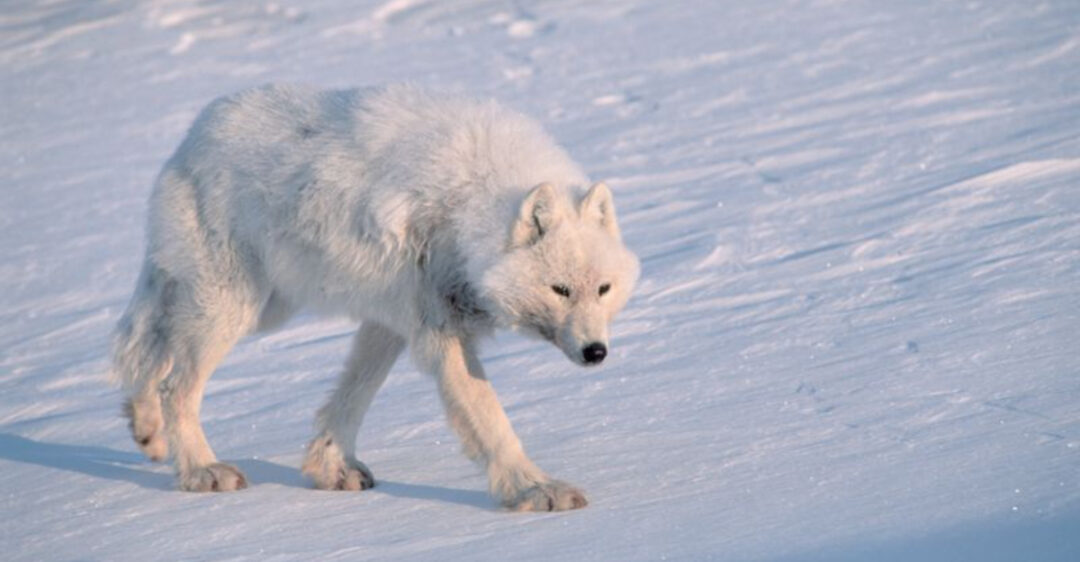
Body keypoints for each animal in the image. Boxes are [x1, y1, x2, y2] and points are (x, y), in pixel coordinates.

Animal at [110, 84, 639, 511]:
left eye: (603, 289)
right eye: (560, 290)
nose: (596, 353)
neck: (471, 205)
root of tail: (192, 137)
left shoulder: (394, 320)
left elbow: (353, 395)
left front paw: (330, 468)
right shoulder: (439, 329)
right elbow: (490, 419)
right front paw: (534, 490)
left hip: (260, 309)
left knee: (146, 350)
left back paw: (147, 430)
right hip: (234, 309)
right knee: (174, 384)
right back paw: (201, 471)